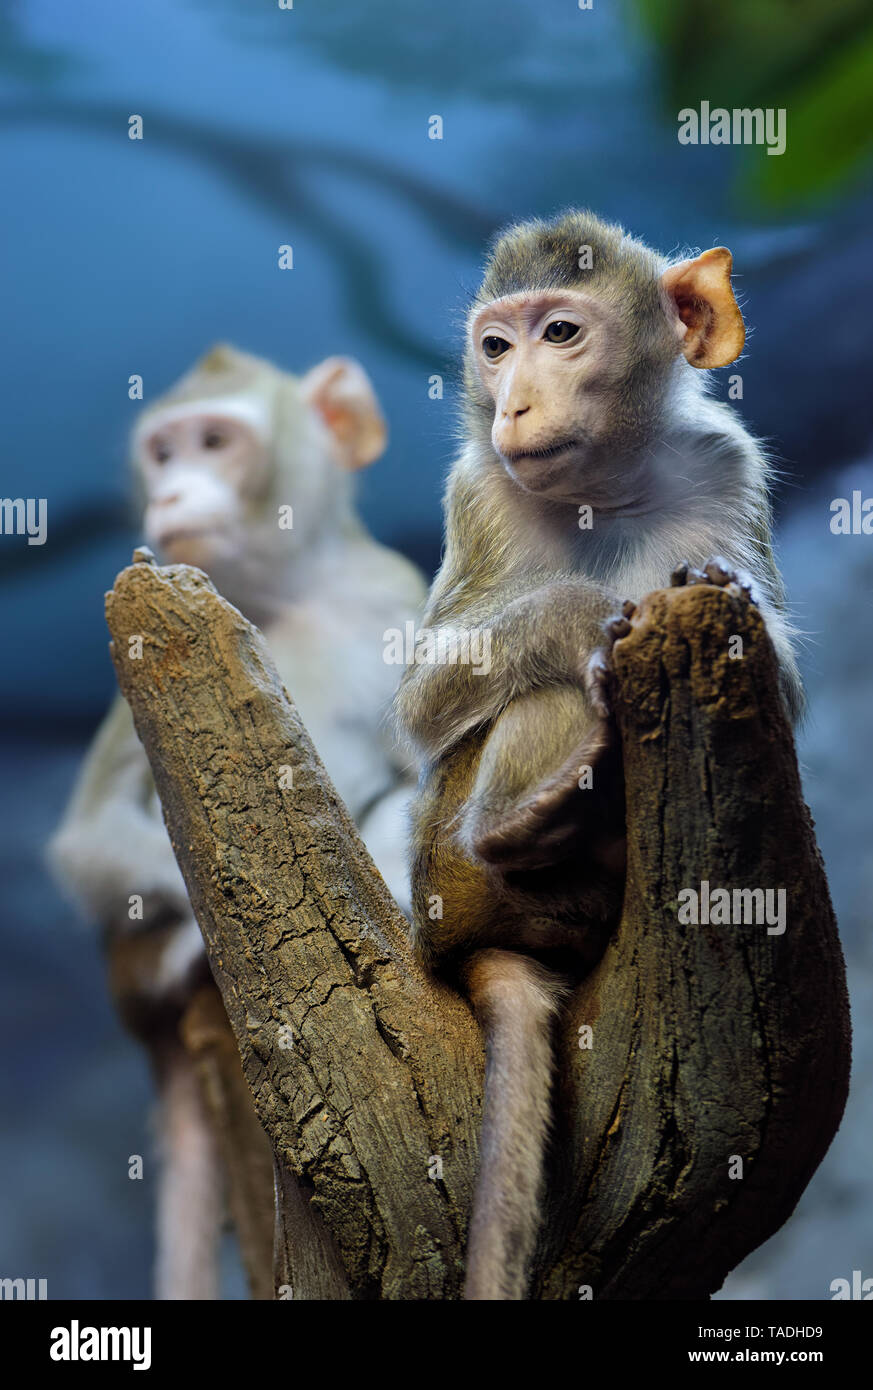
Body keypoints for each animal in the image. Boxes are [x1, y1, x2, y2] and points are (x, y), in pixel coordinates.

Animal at [50, 344, 427, 1299]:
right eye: (163, 452)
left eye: (215, 442)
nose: (173, 492)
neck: (285, 596)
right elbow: (88, 841)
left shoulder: (392, 598)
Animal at [394, 211, 804, 1300]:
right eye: (496, 347)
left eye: (561, 333)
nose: (514, 401)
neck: (605, 493)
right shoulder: (476, 490)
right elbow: (421, 702)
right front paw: (594, 609)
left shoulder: (727, 463)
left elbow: (782, 687)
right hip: (444, 863)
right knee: (546, 691)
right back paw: (526, 814)